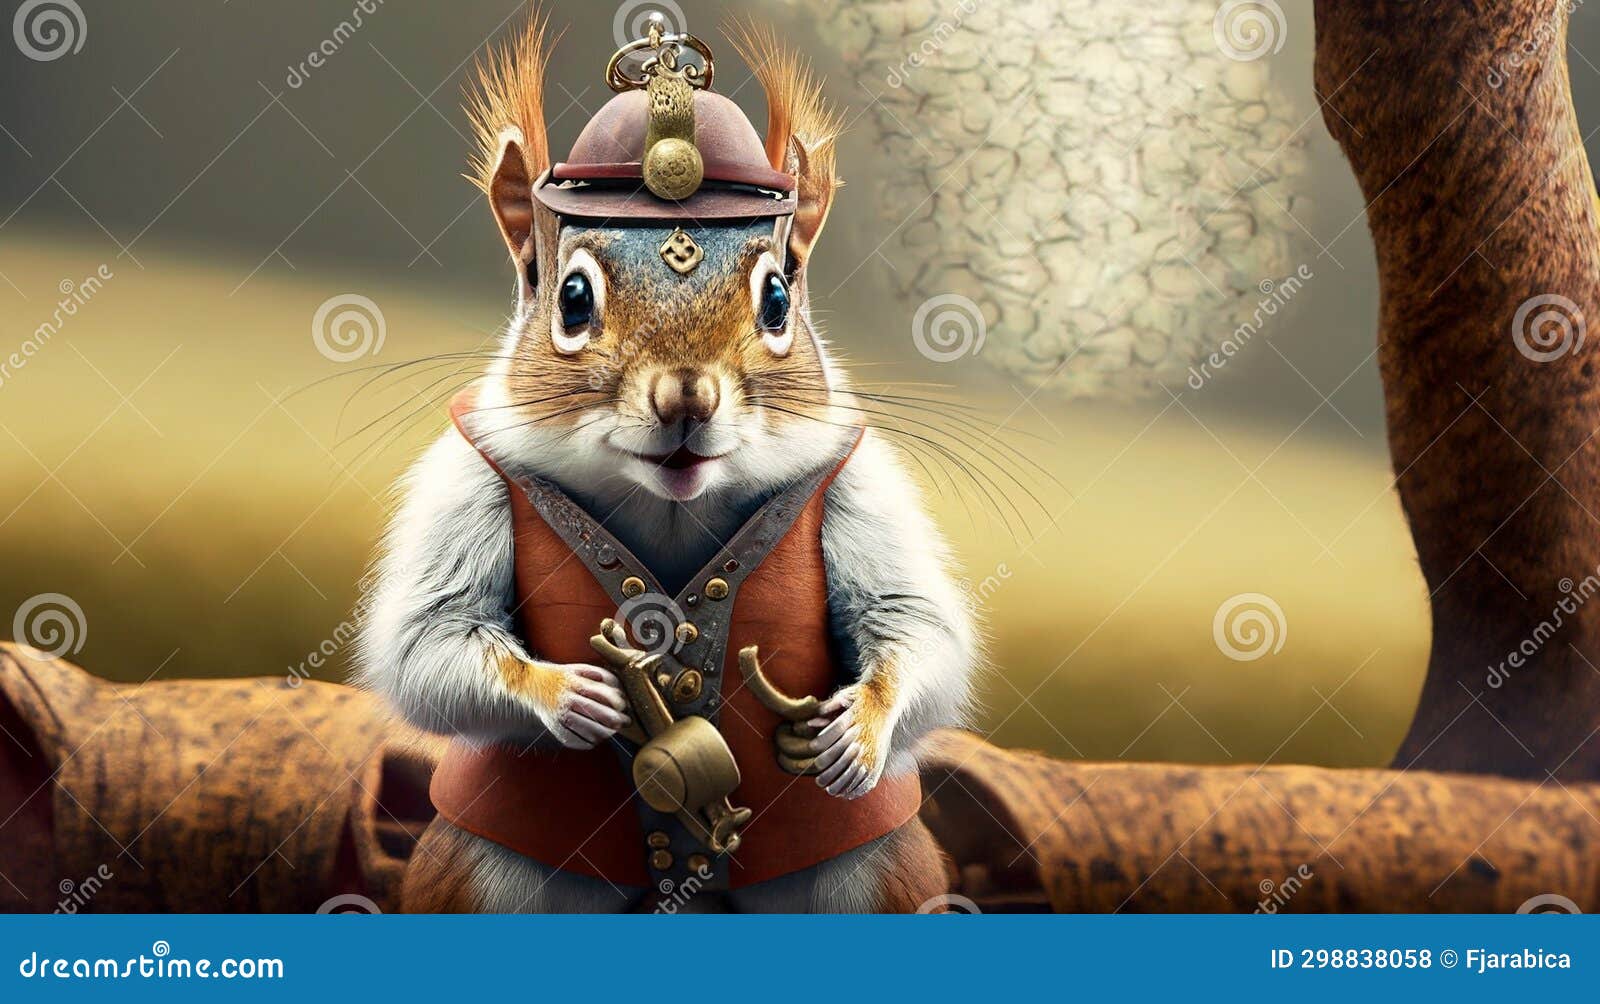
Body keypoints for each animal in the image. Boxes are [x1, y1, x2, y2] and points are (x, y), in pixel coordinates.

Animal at [355, 15, 977, 913]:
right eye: (572, 299)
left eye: (779, 299)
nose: (687, 398)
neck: (673, 504)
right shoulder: (467, 486)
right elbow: (425, 637)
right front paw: (572, 694)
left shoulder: (859, 484)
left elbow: (918, 624)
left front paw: (856, 732)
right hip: (489, 873)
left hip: (870, 873)